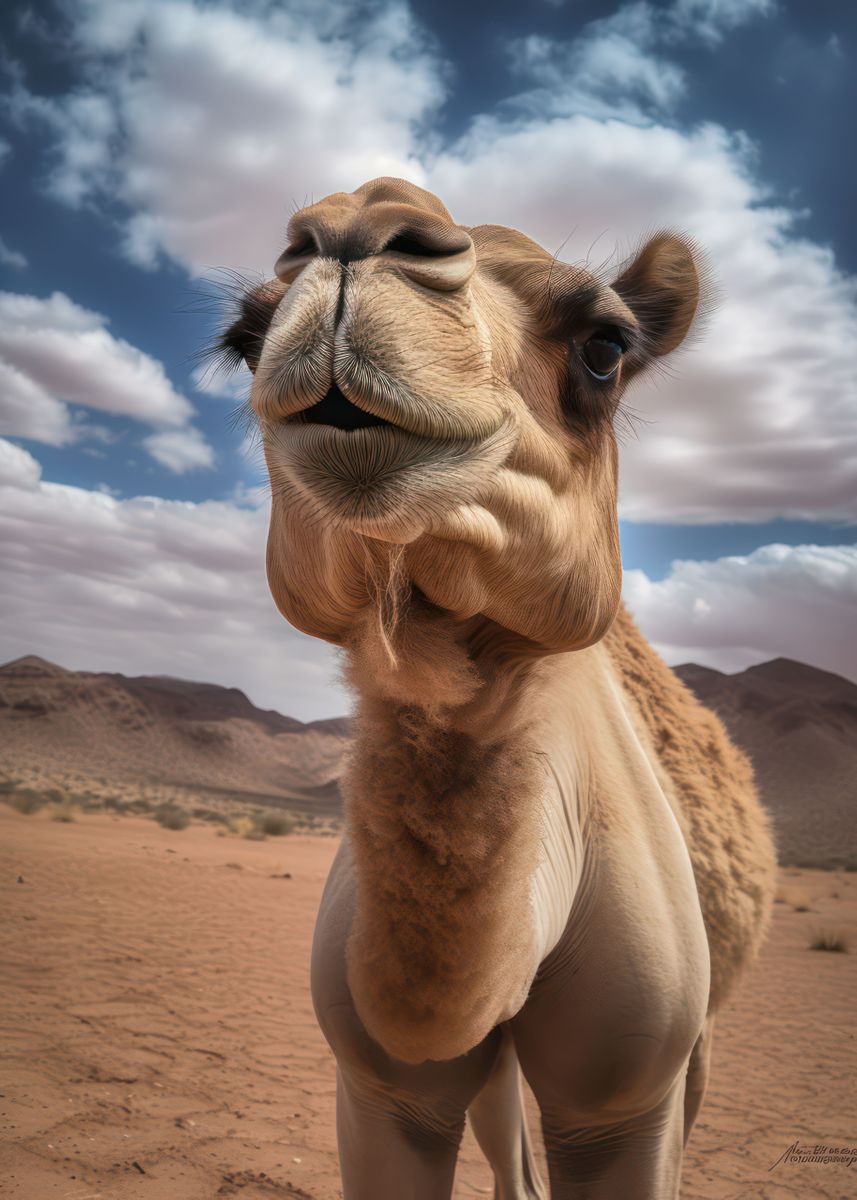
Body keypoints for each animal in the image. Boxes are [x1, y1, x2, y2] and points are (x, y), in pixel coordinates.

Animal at [221, 177, 777, 1198]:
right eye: (244, 338)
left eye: (605, 347)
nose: (363, 221)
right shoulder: (383, 1089)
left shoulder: (626, 1098)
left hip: (699, 1035)